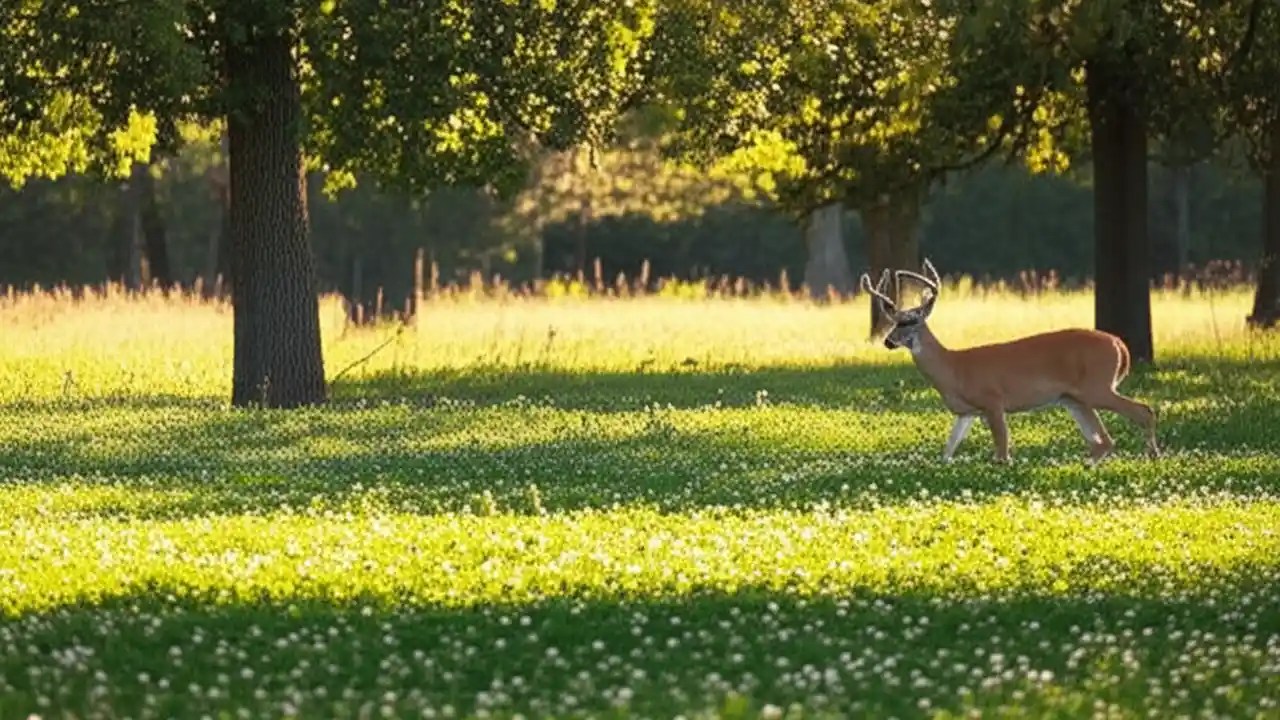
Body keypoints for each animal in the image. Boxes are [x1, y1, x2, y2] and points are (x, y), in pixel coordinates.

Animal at [860, 259, 1161, 465]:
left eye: (909, 321)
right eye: (892, 321)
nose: (888, 342)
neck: (954, 369)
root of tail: (1119, 345)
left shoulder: (993, 401)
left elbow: (1002, 452)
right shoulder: (966, 412)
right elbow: (948, 450)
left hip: (1097, 386)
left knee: (1144, 411)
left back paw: (1153, 456)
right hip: (1073, 398)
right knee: (1103, 441)